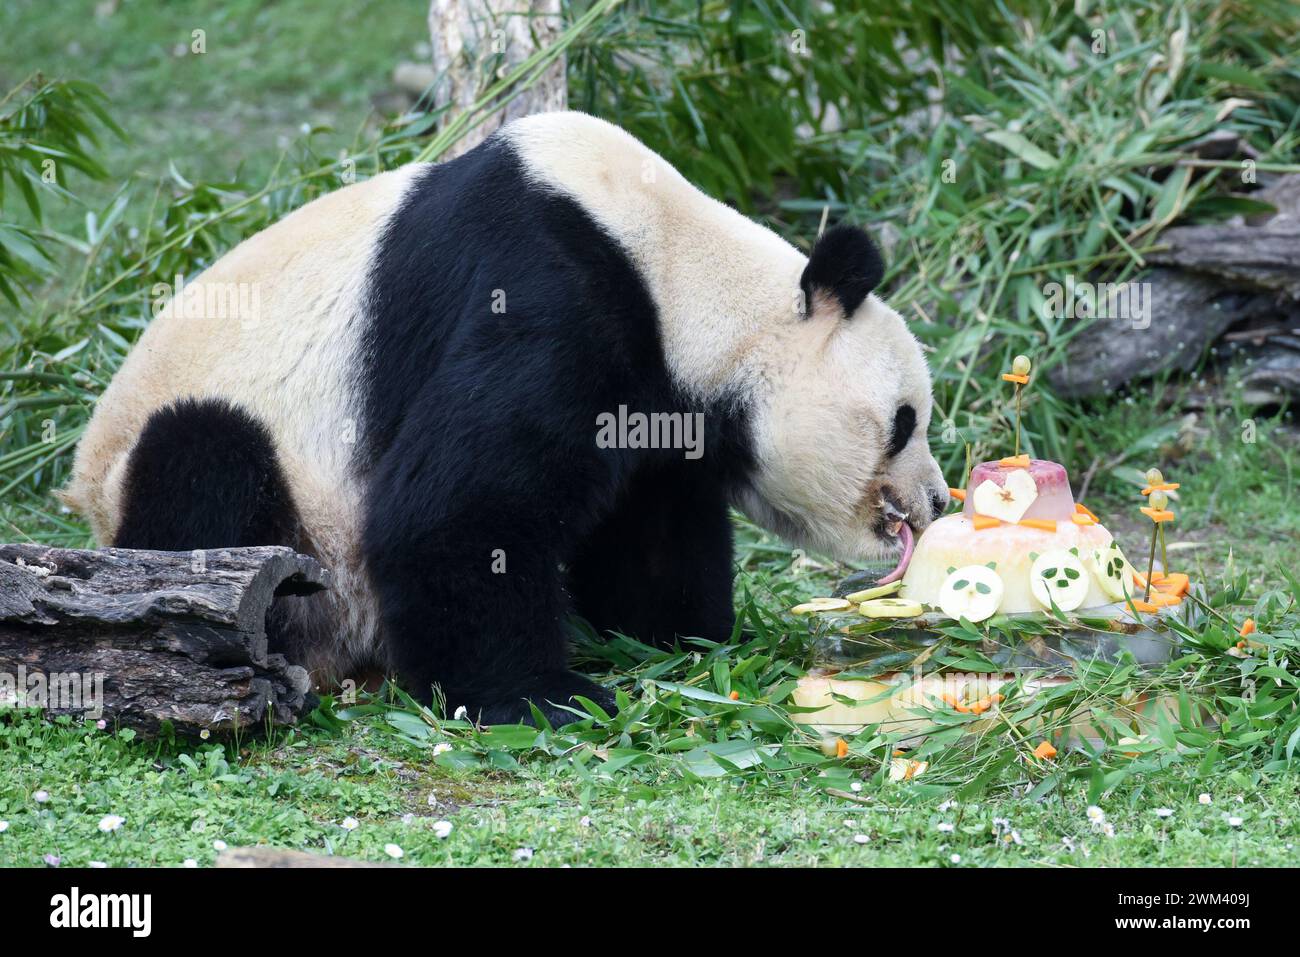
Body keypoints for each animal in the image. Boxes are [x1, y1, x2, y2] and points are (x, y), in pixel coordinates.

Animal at [61, 111, 949, 726]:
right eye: (904, 421)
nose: (939, 500)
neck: (676, 270)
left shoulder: (652, 403)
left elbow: (649, 530)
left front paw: (682, 635)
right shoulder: (546, 287)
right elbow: (459, 507)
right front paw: (542, 696)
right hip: (242, 487)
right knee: (203, 458)